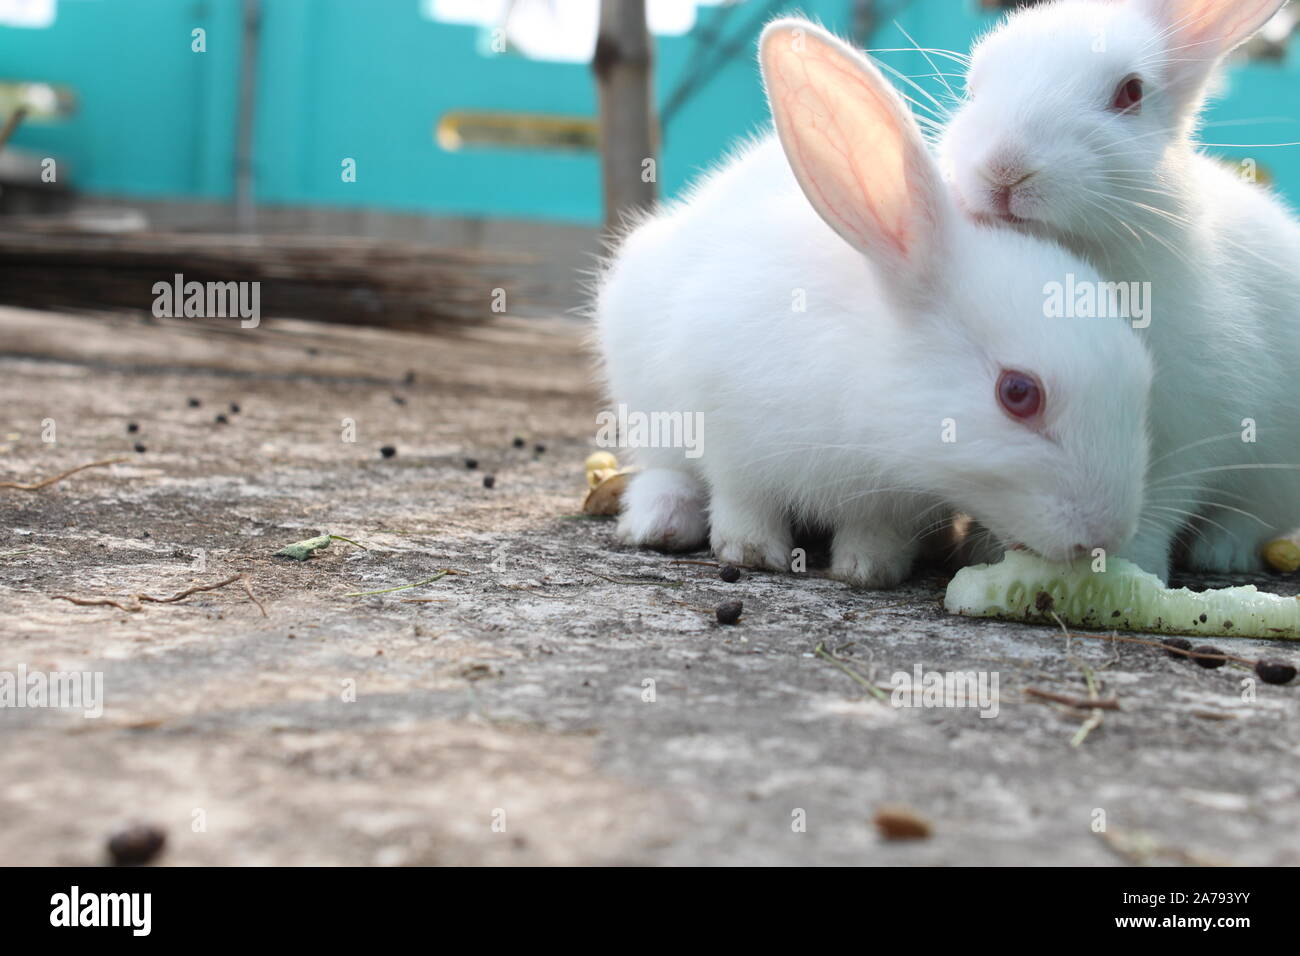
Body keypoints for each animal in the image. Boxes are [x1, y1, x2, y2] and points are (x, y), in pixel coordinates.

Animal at [593, 18, 1154, 588]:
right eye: (1018, 393)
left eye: (1143, 381)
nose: (1104, 537)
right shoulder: (728, 429)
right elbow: (743, 499)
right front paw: (751, 550)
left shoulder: (892, 503)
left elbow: (874, 530)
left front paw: (869, 569)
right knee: (665, 465)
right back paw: (661, 520)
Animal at [941, 0, 1300, 581]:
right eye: (972, 87)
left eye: (1130, 93)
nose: (1005, 168)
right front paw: (990, 552)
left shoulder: (1194, 426)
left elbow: (1161, 502)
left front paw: (1134, 566)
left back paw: (1221, 551)